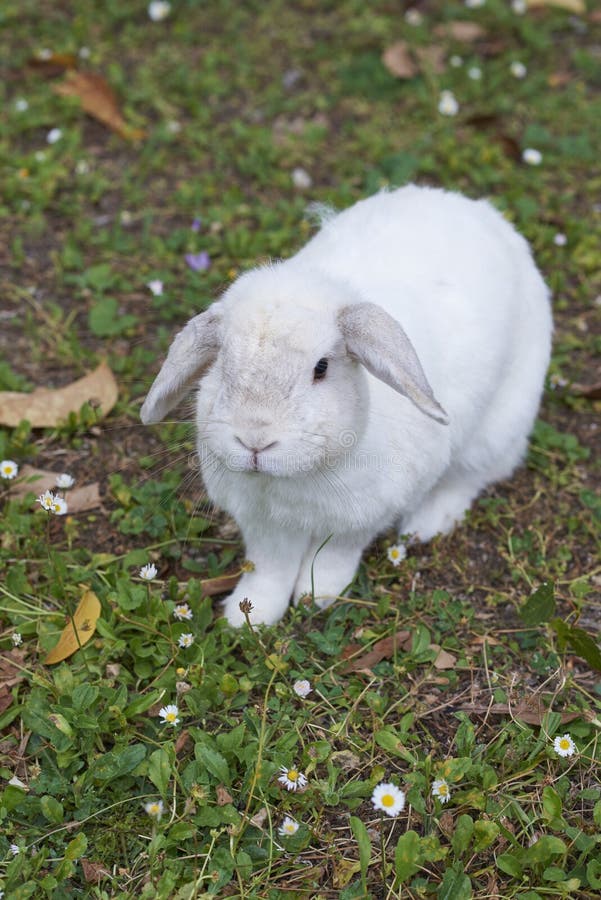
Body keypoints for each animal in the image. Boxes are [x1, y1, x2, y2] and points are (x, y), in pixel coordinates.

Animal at [141, 185, 552, 626]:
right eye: (221, 363)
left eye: (321, 368)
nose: (254, 441)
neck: (298, 478)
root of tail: (483, 213)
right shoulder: (265, 527)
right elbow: (270, 570)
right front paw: (246, 616)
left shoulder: (360, 520)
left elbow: (334, 557)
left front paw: (316, 596)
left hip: (499, 426)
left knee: (469, 476)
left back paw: (428, 524)